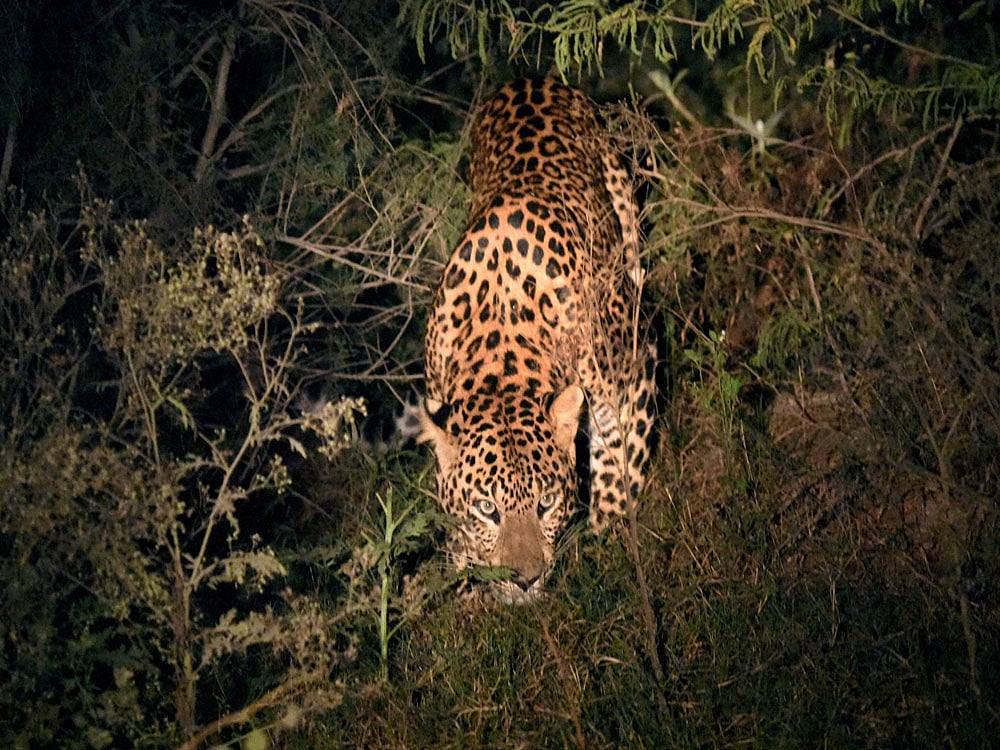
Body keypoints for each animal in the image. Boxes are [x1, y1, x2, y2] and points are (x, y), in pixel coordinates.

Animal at [408, 77, 657, 603]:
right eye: (486, 508)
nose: (525, 580)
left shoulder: (636, 364)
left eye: (546, 502)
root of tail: (526, 80)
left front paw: (608, 537)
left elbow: (619, 464)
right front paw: (468, 582)